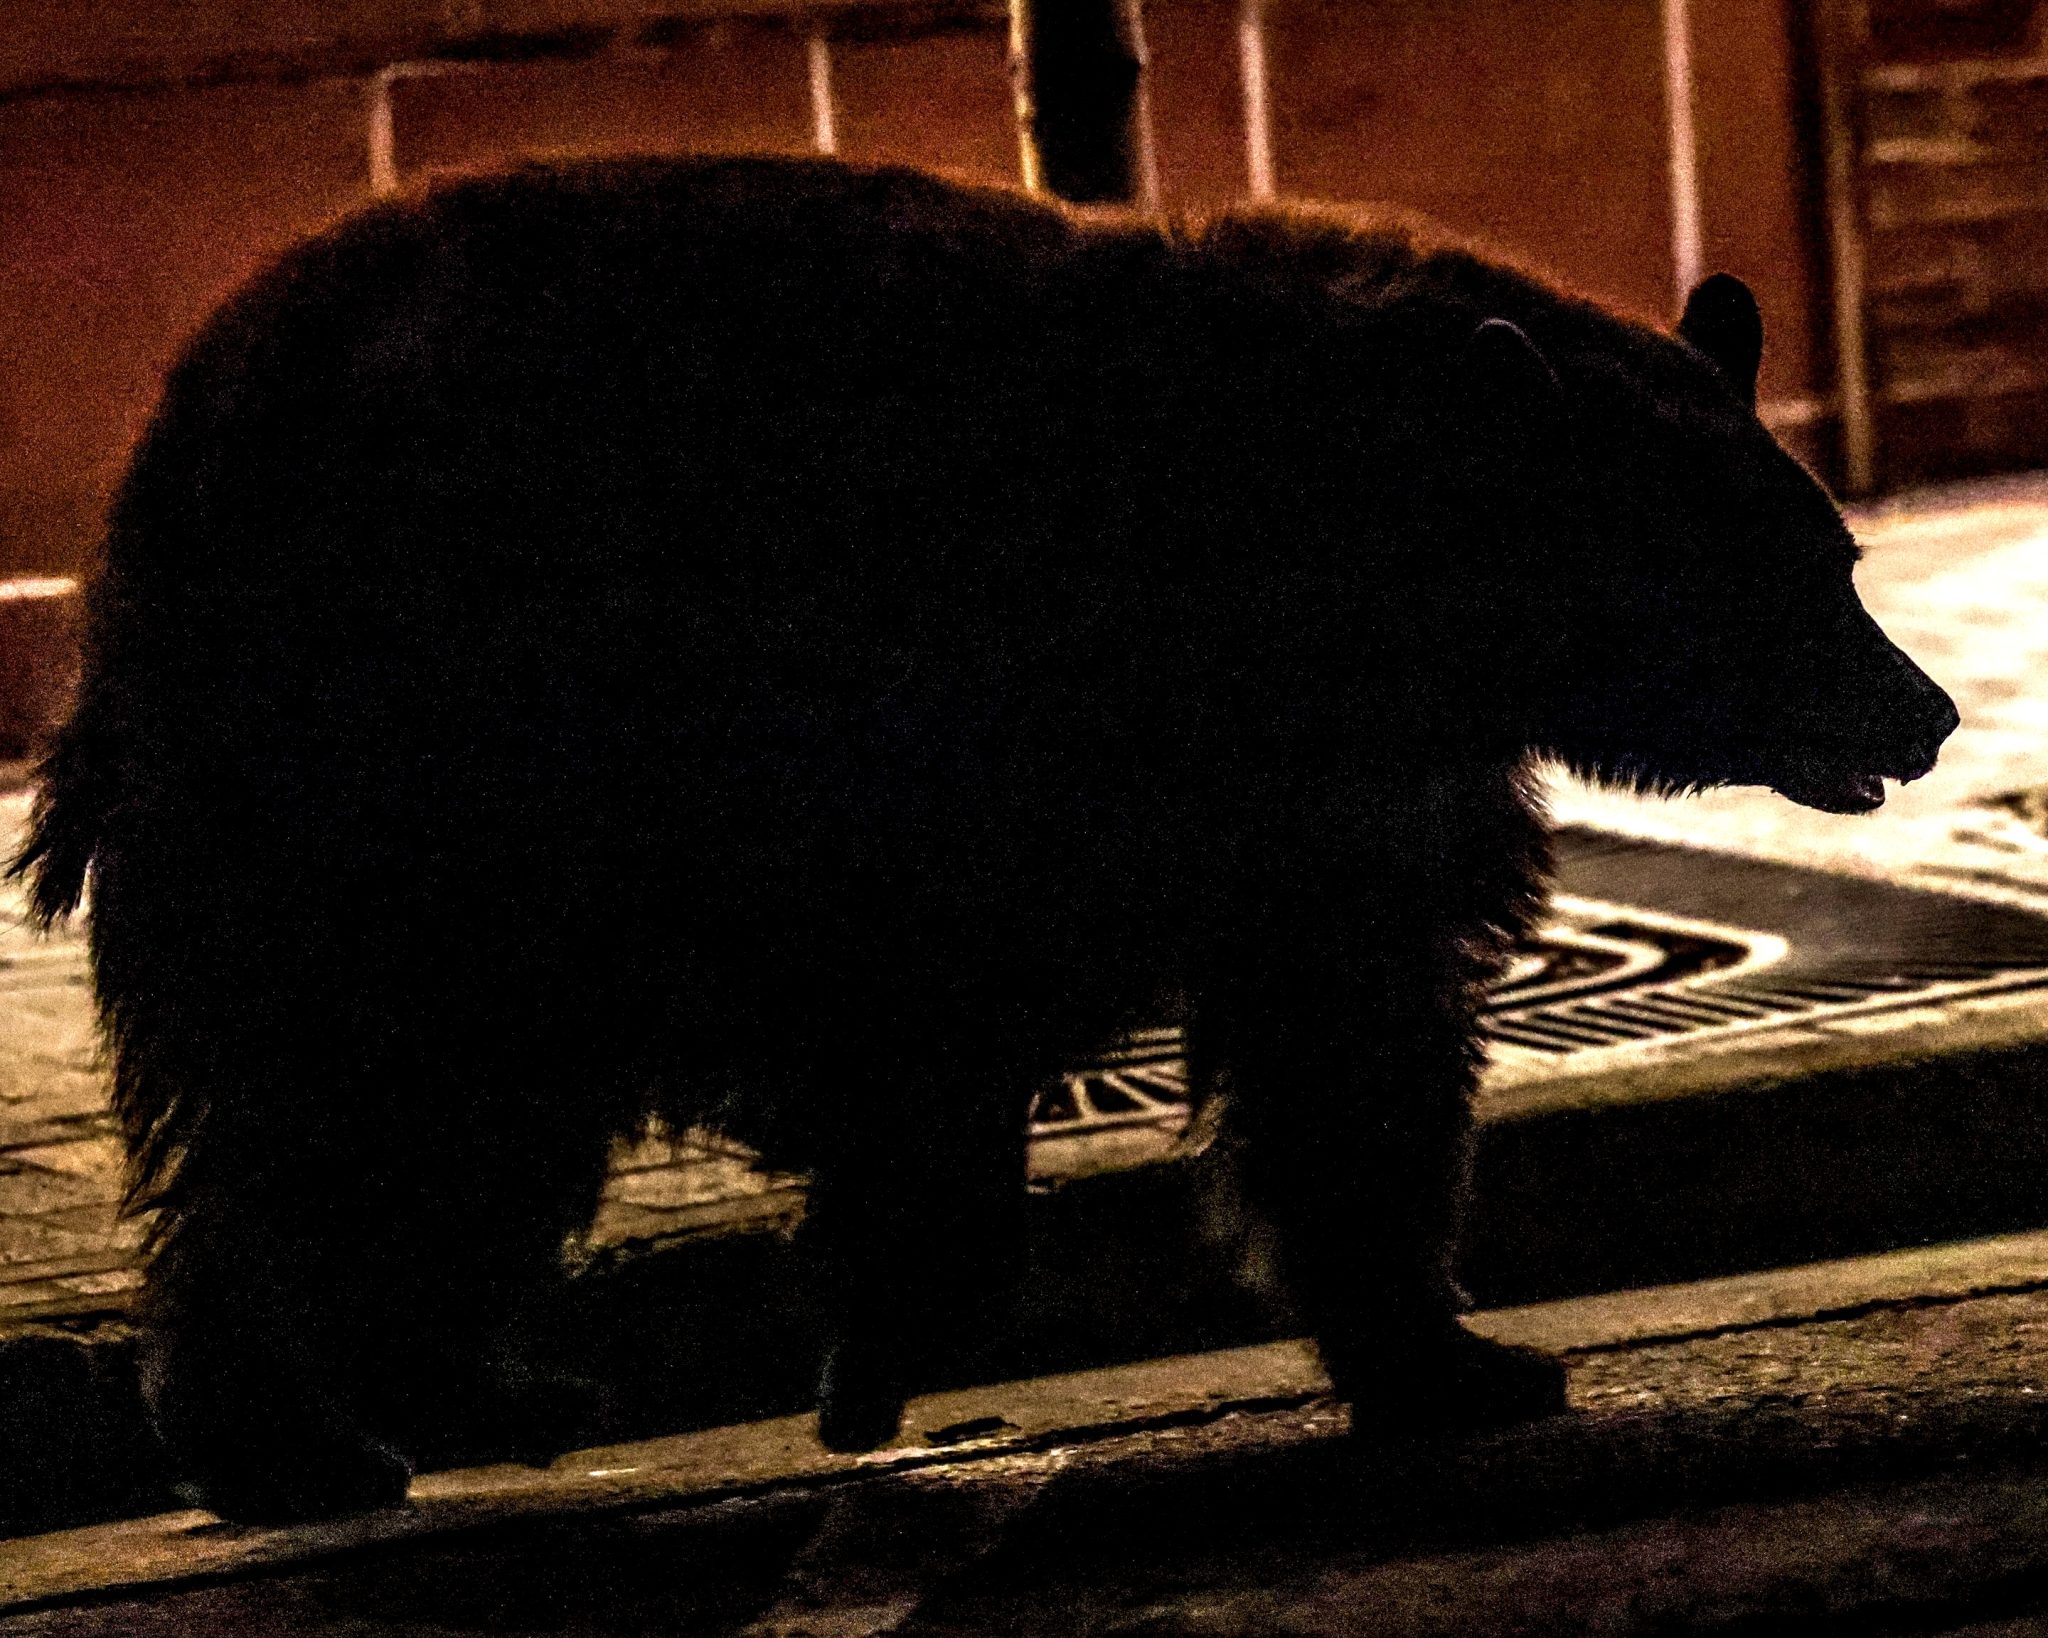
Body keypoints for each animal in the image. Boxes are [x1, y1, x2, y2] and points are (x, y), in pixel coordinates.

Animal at [11, 155, 1956, 1523]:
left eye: (1835, 555)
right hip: (387, 771)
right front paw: (881, 1347)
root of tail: (162, 454)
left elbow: (1356, 1057)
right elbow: (940, 1034)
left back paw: (474, 1388)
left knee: (459, 1118)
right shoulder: (963, 741)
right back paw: (288, 1443)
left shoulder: (1341, 800)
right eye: (1785, 575)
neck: (1348, 552)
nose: (1925, 712)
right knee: (321, 1103)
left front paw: (1449, 1353)